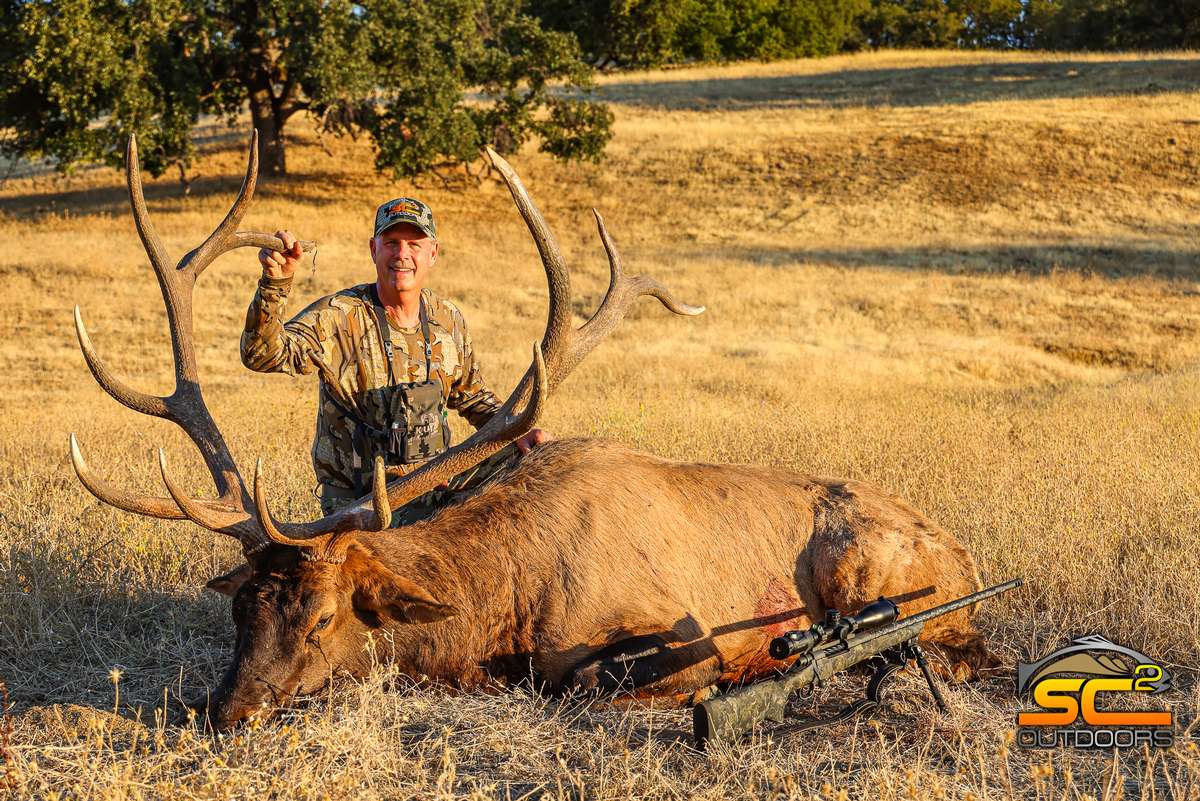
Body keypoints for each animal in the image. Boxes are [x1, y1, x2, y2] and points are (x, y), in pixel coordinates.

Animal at [69, 131, 994, 730]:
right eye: (242, 611)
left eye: (322, 617)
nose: (228, 710)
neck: (502, 605)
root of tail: (967, 553)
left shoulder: (687, 634)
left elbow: (586, 684)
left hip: (870, 568)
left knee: (960, 648)